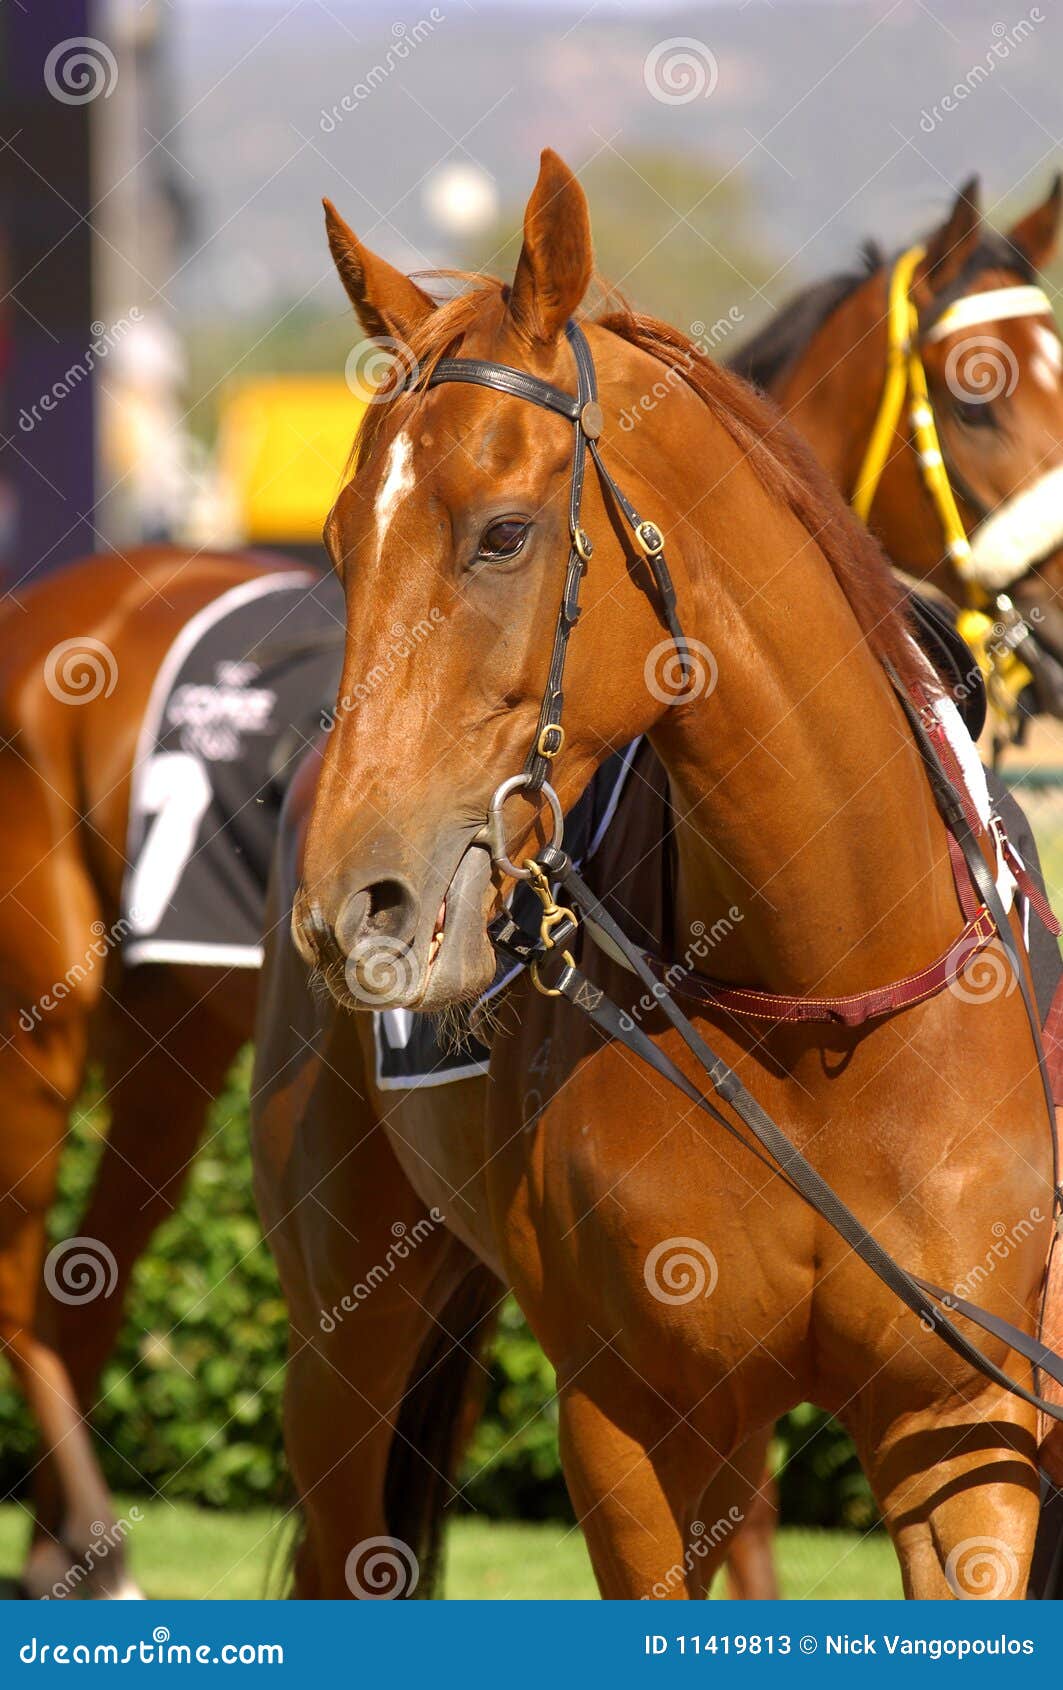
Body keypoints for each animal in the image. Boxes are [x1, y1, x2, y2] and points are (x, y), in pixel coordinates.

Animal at [251, 148, 1059, 1599]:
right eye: (337, 543)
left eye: (502, 534)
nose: (358, 904)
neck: (822, 1000)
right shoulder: (628, 1418)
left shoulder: (963, 1419)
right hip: (342, 1326)